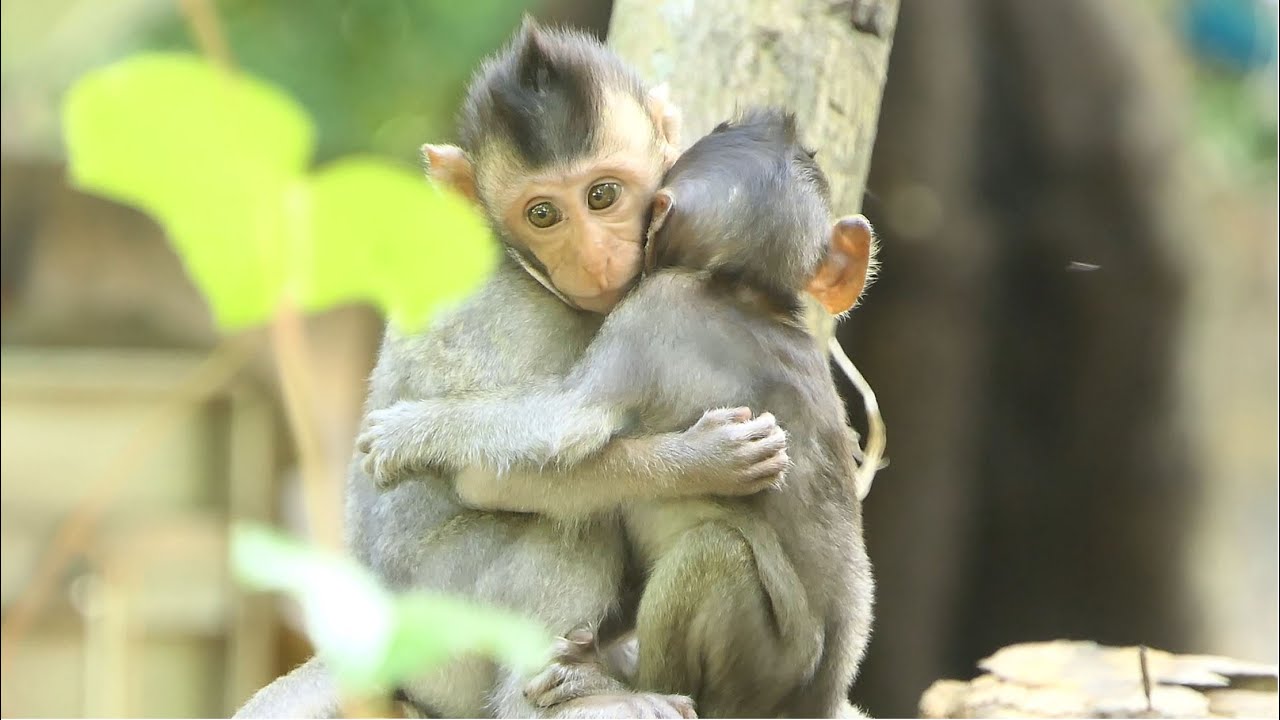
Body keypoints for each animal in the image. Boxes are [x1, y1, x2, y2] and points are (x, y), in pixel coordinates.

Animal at [234, 19, 790, 720]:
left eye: (602, 195)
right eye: (543, 214)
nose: (593, 256)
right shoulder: (513, 317)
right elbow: (513, 465)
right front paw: (704, 459)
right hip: (437, 624)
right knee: (566, 529)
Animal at [357, 109, 877, 718]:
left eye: (604, 198)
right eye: (545, 215)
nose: (595, 256)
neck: (747, 293)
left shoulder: (648, 310)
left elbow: (547, 437)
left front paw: (409, 432)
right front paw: (709, 457)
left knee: (687, 549)